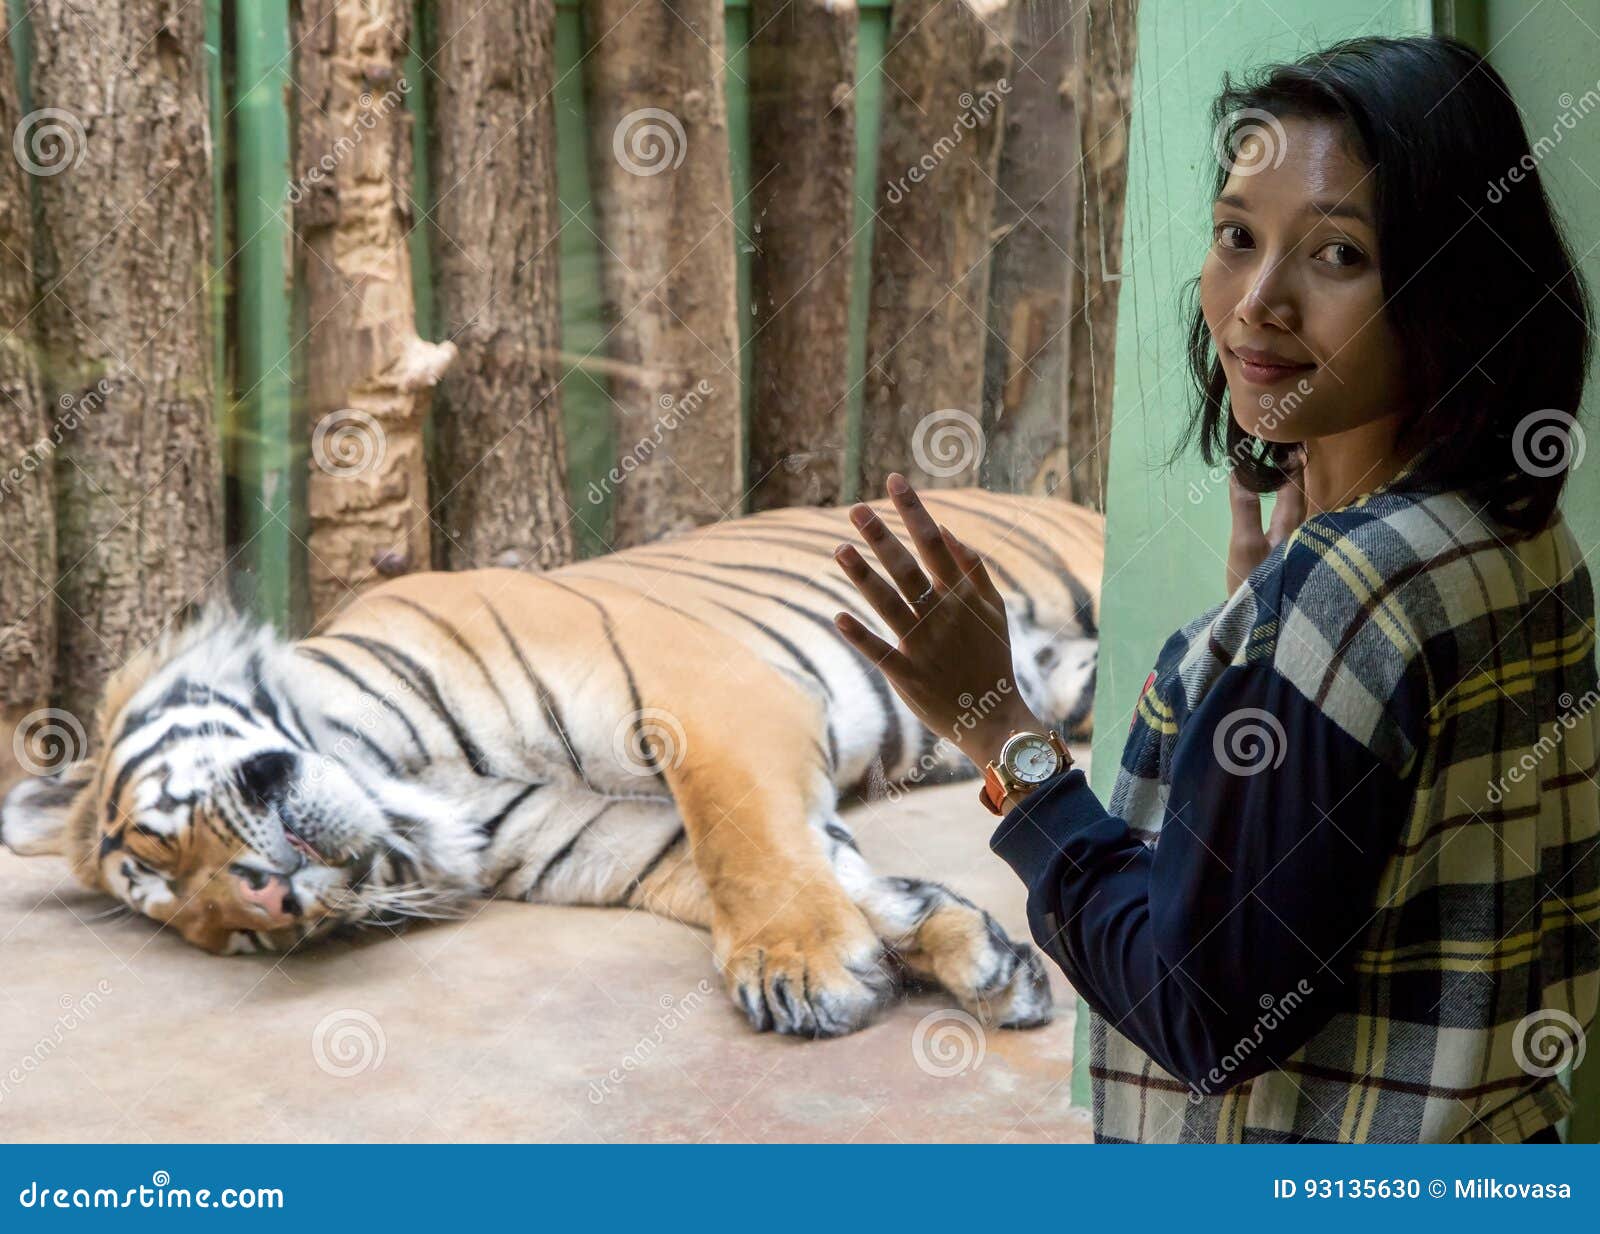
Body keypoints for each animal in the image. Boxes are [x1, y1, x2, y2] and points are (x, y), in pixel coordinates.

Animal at [1, 488, 1101, 1039]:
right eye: (229, 938)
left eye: (163, 843)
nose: (269, 905)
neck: (410, 782)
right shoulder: (608, 836)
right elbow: (788, 868)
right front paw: (967, 953)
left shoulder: (708, 691)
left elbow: (745, 843)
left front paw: (801, 968)